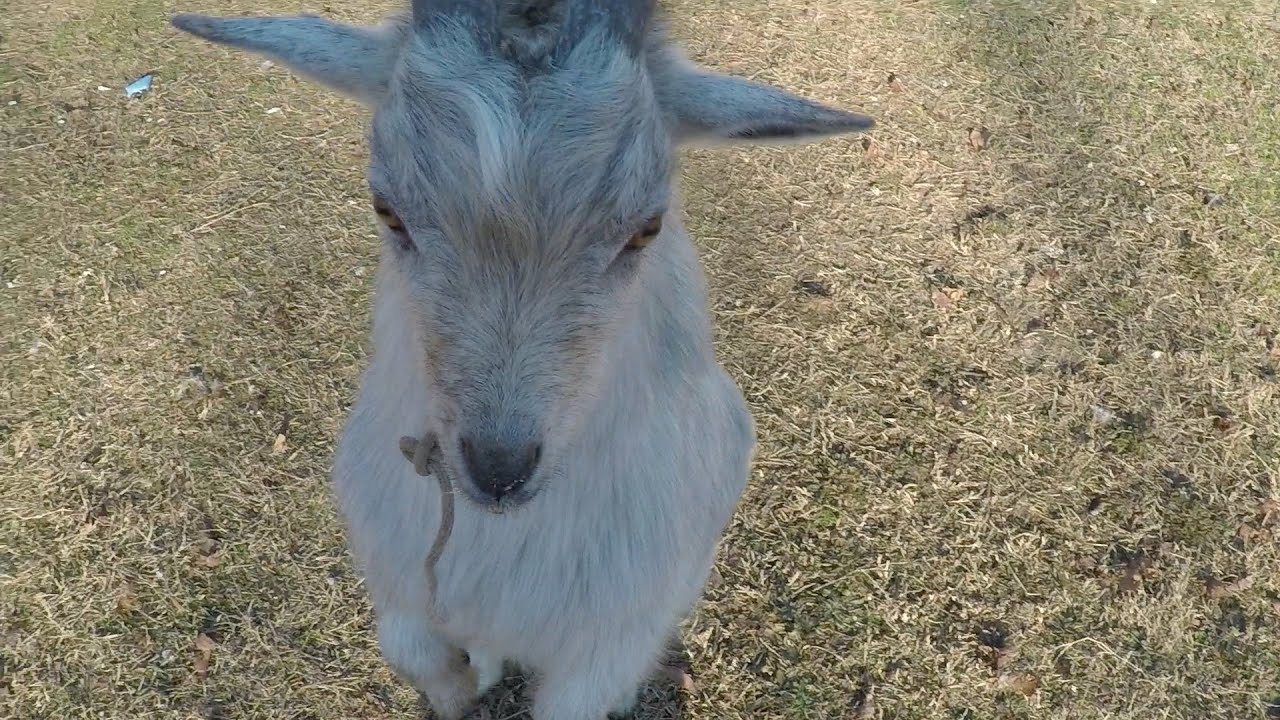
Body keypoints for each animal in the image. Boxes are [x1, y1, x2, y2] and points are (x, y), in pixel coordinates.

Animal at [171, 2, 872, 718]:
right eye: (386, 210)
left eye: (647, 228)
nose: (499, 470)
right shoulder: (401, 577)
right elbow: (410, 648)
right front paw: (458, 690)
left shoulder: (616, 638)